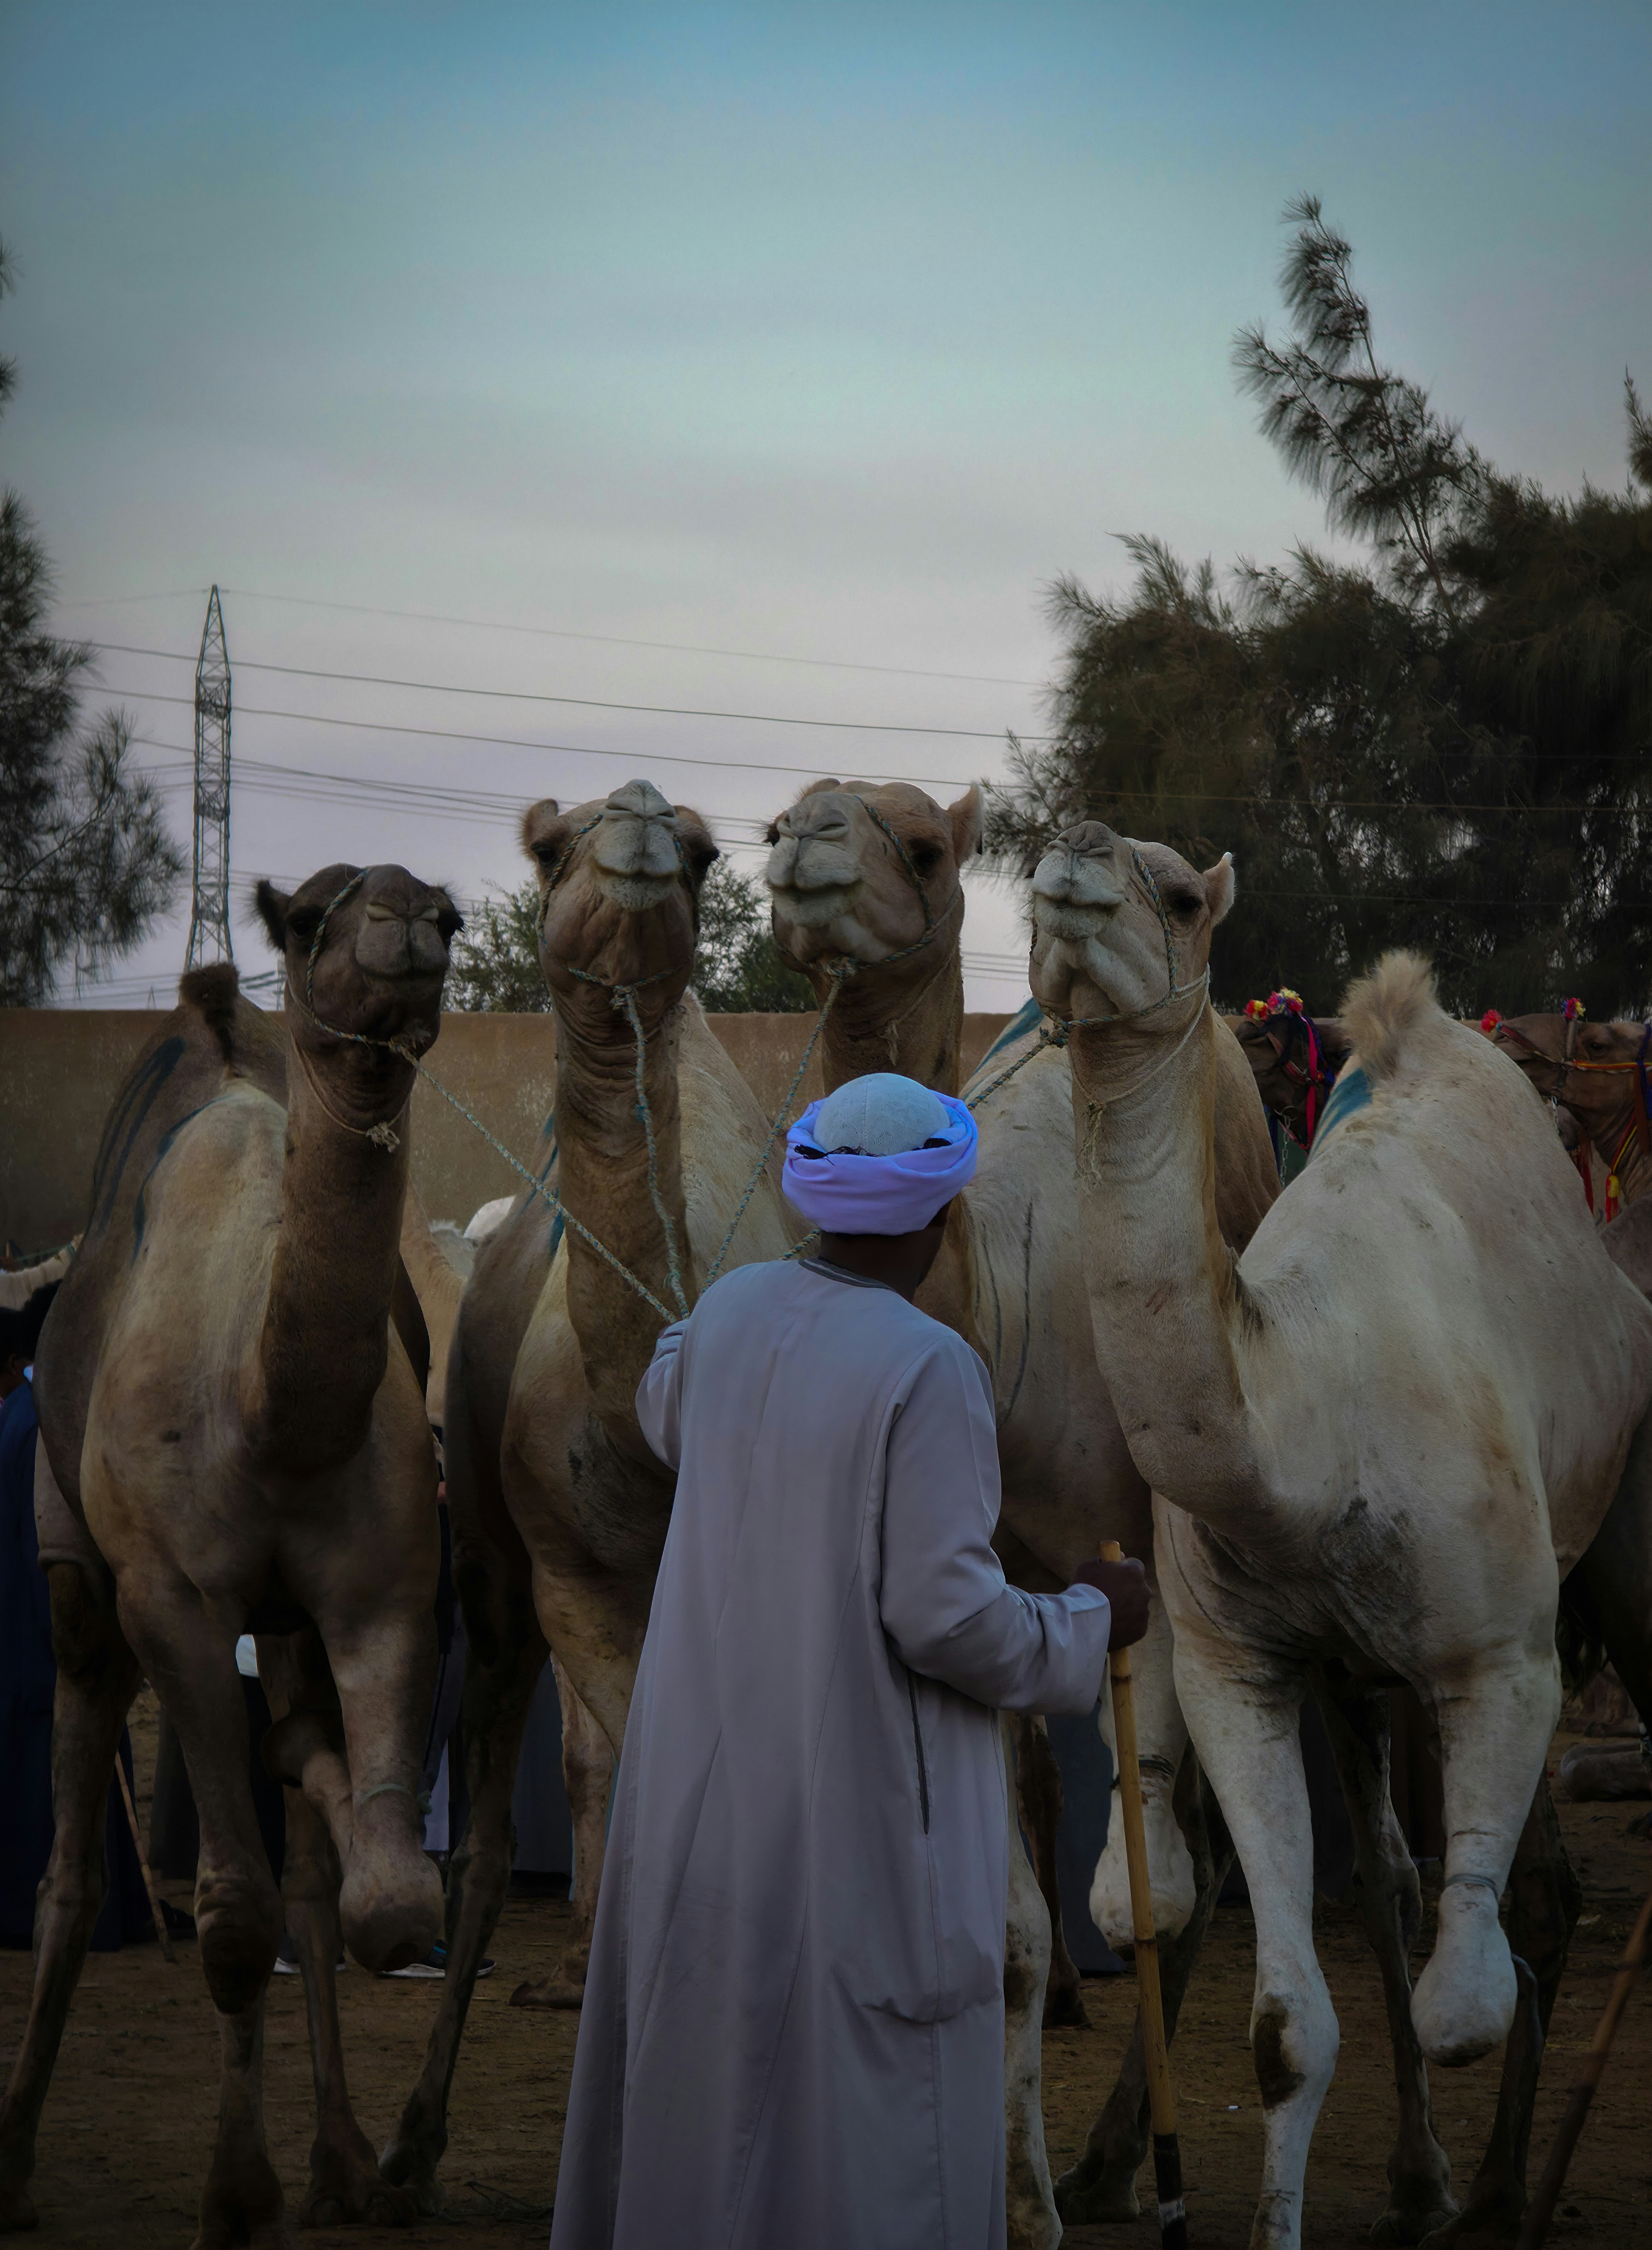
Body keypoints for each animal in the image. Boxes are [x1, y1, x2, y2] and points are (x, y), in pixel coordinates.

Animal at [0, 863, 460, 2247]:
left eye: (452, 914)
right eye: (310, 918)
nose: (404, 910)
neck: (268, 1411)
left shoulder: (379, 1593)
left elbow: (379, 1904)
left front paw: (337, 2166)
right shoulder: (174, 1600)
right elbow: (232, 1914)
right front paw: (233, 2196)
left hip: (287, 1622)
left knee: (308, 1864)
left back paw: (340, 2157)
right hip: (80, 1585)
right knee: (70, 1861)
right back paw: (20, 2151)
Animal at [382, 780, 796, 2209]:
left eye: (710, 850)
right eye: (549, 847)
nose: (635, 819)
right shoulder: (571, 1579)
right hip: (491, 1577)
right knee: (503, 1831)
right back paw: (410, 2141)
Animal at [763, 777, 1281, 2230]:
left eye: (919, 846)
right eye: (776, 820)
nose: (803, 838)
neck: (986, 1297)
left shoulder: (1146, 1550)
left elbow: (1142, 1892)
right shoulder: (978, 1583)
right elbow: (1002, 1935)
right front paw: (1017, 2205)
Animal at [1024, 820, 1652, 2250]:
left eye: (1177, 893)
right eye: (1041, 864)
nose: (1071, 853)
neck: (1300, 1427)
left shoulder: (1499, 1661)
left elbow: (1460, 1997)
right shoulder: (1239, 1665)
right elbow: (1282, 2032)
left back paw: (1488, 2190)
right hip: (1358, 1680)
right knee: (1393, 1880)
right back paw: (1465, 2188)